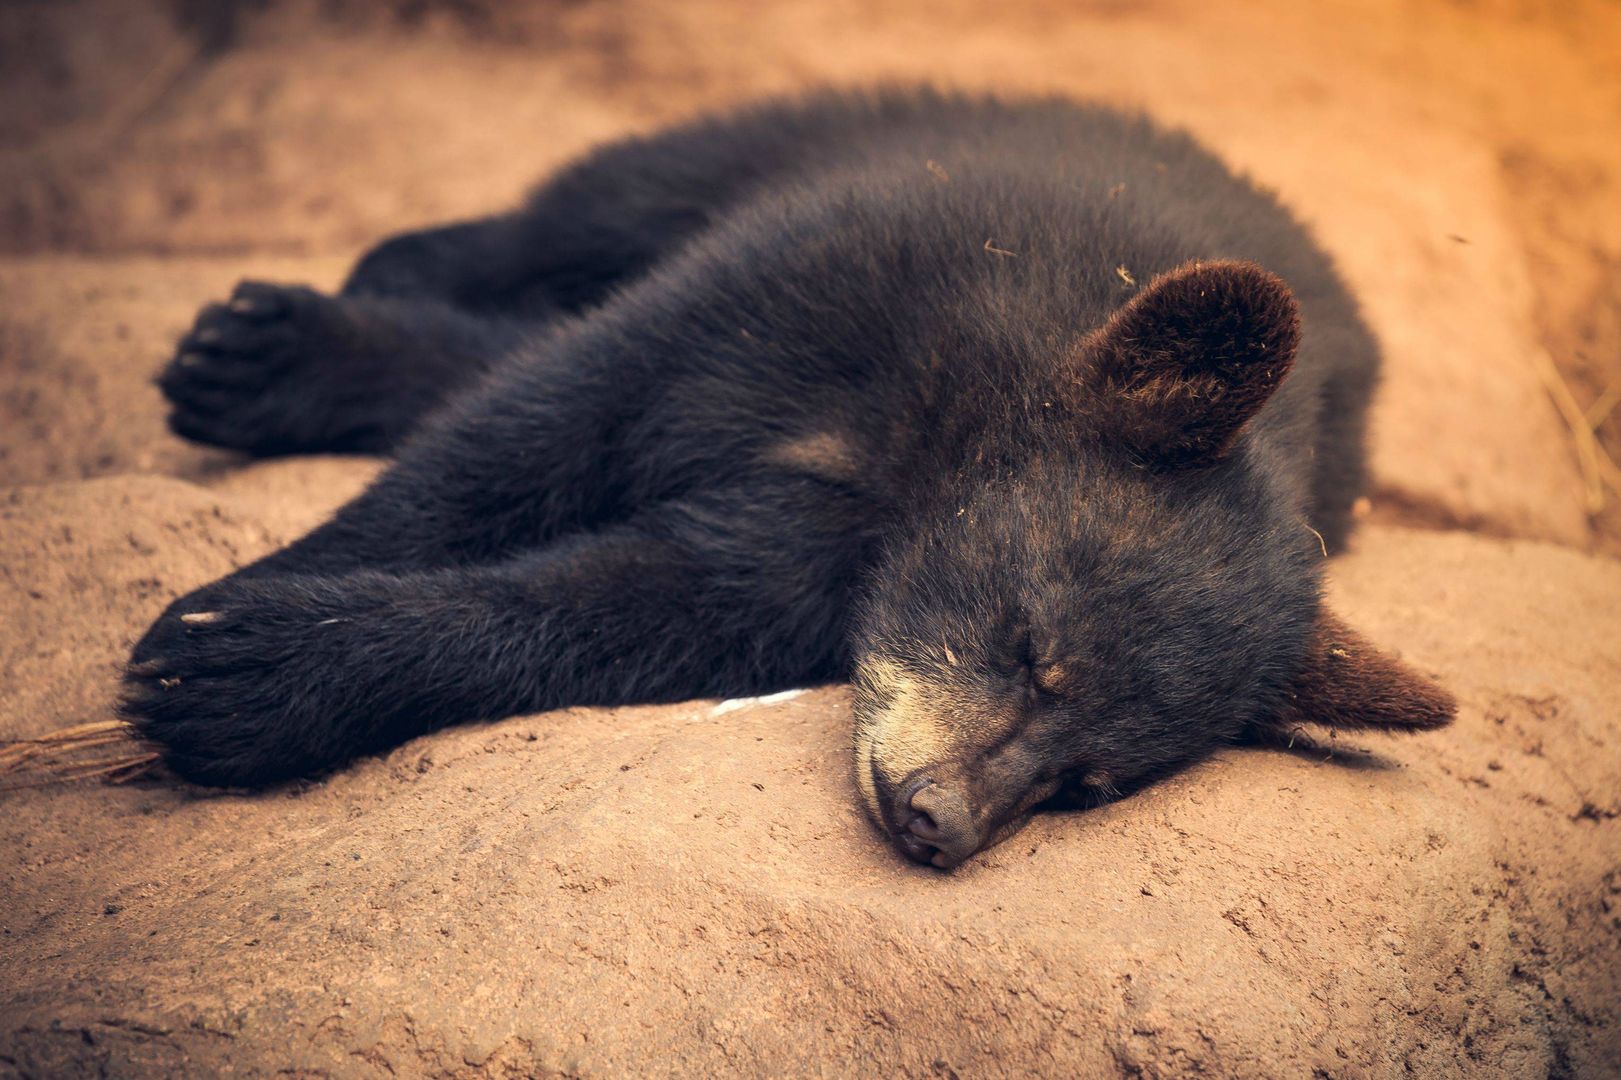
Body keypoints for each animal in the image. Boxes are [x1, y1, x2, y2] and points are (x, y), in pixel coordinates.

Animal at [125, 86, 1455, 869]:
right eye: (1030, 648)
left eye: (1087, 785)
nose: (940, 827)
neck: (925, 445)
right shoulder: (844, 272)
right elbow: (539, 424)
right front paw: (223, 624)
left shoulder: (819, 567)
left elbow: (633, 601)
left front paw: (260, 674)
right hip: (807, 134)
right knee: (585, 223)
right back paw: (318, 317)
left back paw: (271, 362)